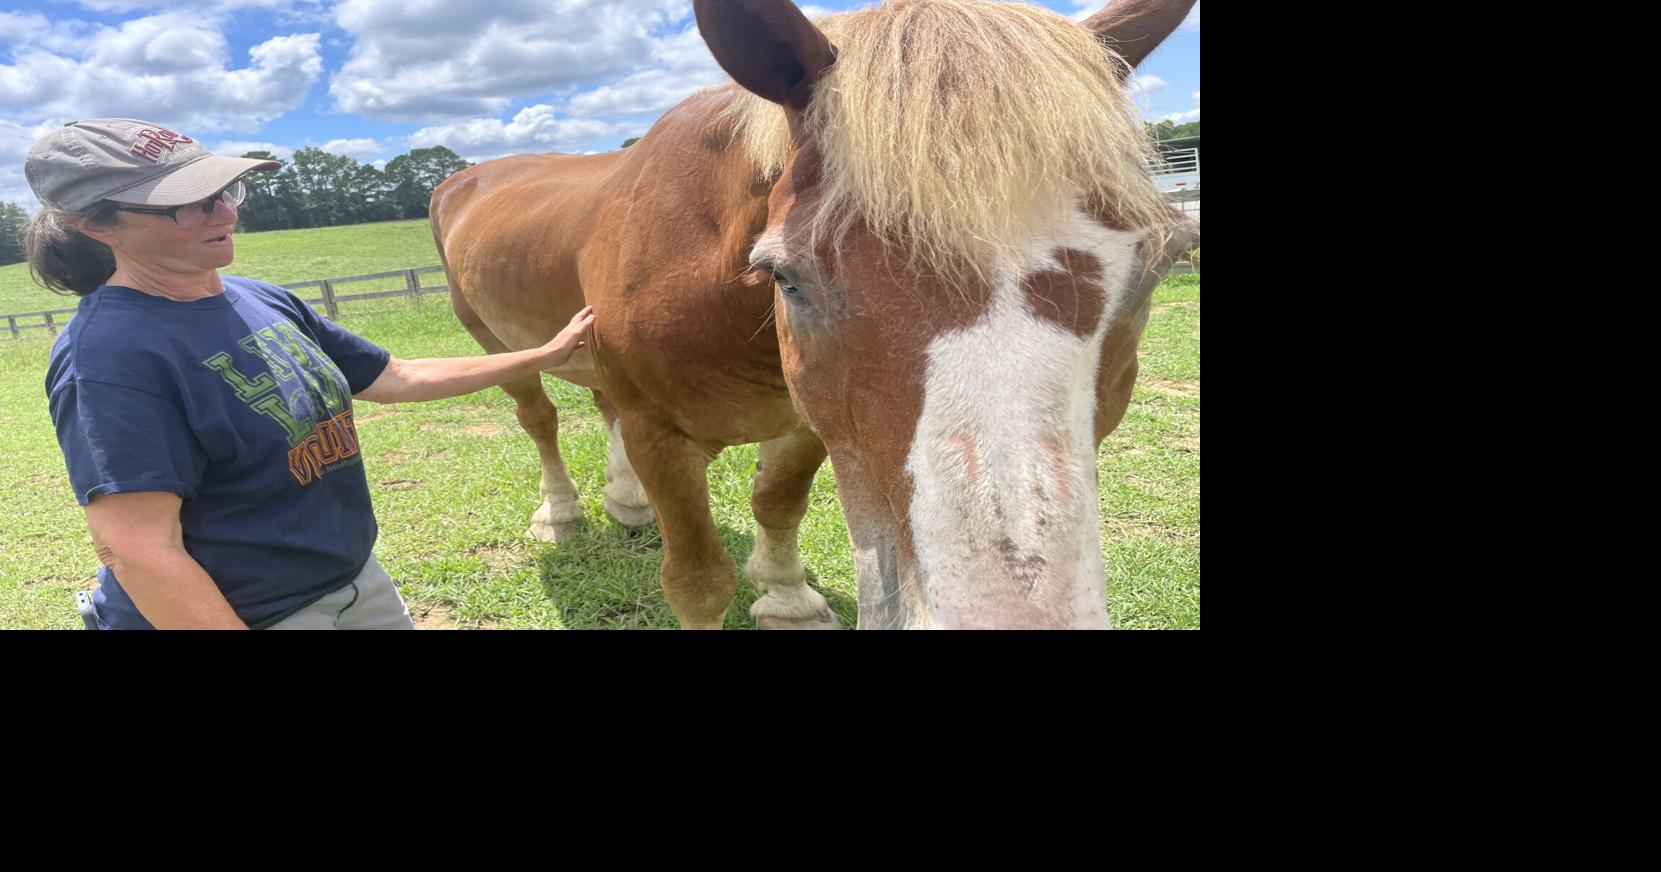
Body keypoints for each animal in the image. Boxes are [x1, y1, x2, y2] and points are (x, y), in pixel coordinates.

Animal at [429, 0, 1200, 629]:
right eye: (786, 278)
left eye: (1159, 264)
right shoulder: (661, 435)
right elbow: (698, 582)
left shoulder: (809, 420)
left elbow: (777, 500)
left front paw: (786, 597)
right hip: (491, 343)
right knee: (540, 419)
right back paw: (560, 513)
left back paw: (625, 502)